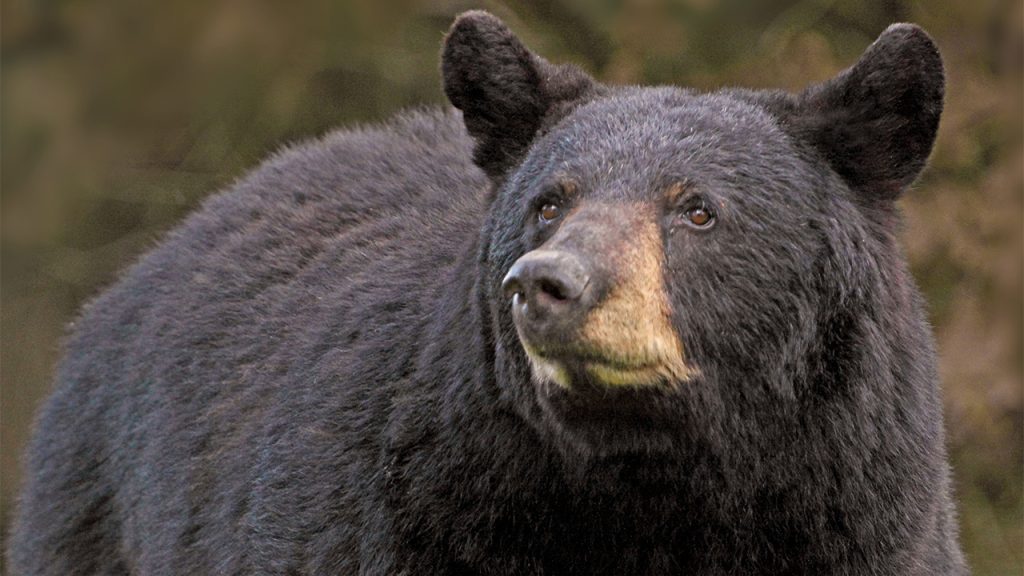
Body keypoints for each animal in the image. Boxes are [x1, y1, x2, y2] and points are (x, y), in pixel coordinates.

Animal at [8, 10, 967, 575]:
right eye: (550, 201)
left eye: (697, 209)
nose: (549, 283)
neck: (649, 482)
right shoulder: (393, 520)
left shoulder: (860, 523)